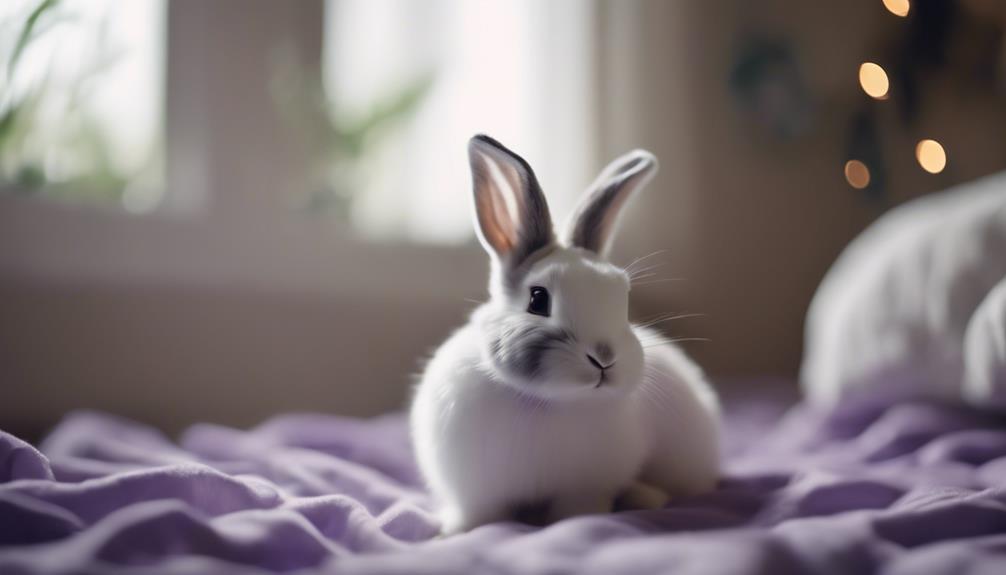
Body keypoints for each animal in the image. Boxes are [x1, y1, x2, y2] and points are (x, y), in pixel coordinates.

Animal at [410, 134, 720, 534]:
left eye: (623, 296)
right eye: (537, 299)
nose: (604, 358)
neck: (547, 400)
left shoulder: (585, 487)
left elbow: (576, 510)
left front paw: (573, 523)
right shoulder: (477, 493)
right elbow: (482, 517)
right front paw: (456, 533)